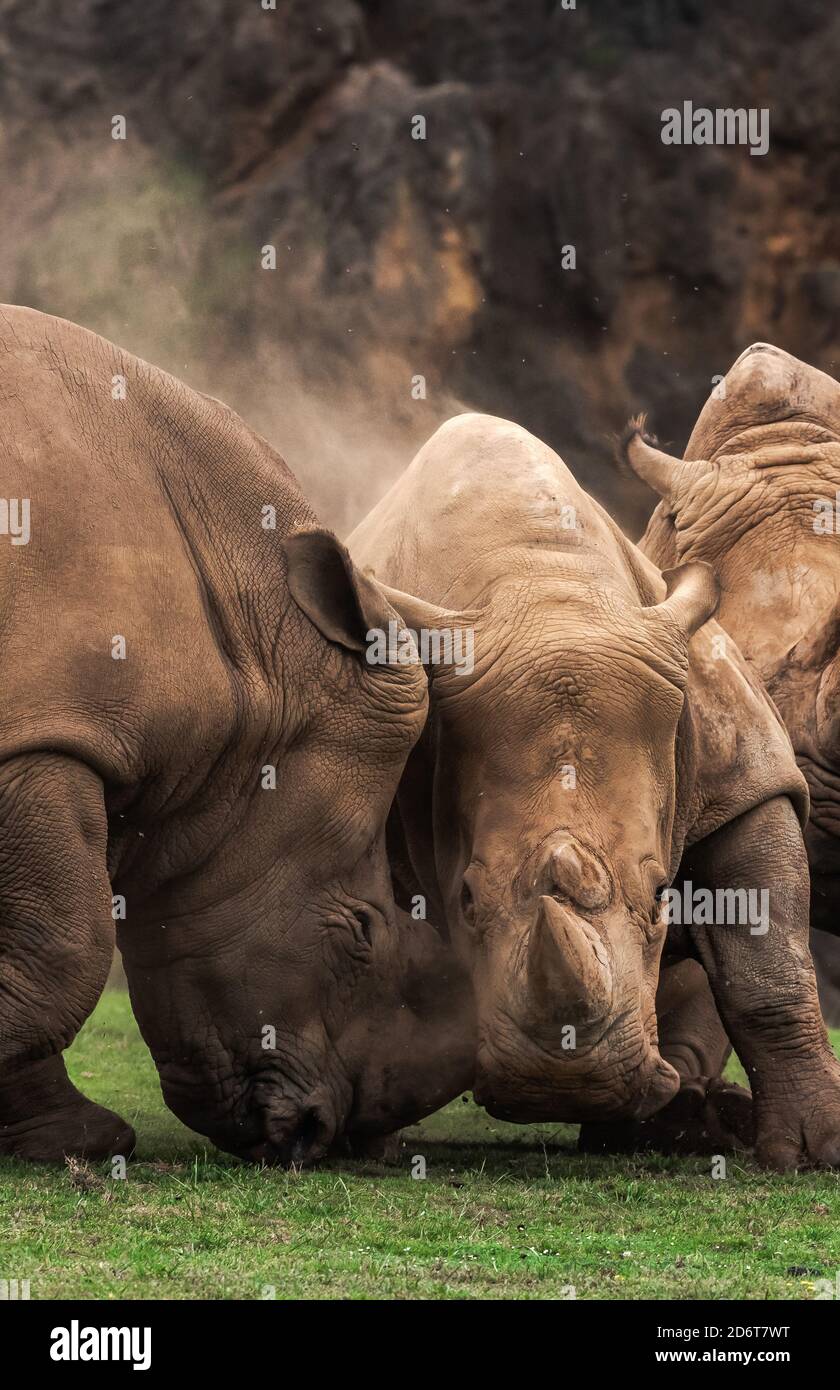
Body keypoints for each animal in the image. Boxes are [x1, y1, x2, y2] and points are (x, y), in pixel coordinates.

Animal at [0, 305, 473, 1164]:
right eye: (360, 934)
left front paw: (74, 1139)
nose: (316, 1135)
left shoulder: (55, 731)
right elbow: (63, 945)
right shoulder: (45, 735)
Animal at [348, 411, 840, 1170]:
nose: (565, 1086)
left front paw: (815, 1152)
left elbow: (770, 958)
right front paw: (364, 1138)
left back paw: (687, 1125)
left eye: (662, 897)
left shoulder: (735, 758)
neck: (545, 585)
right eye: (466, 899)